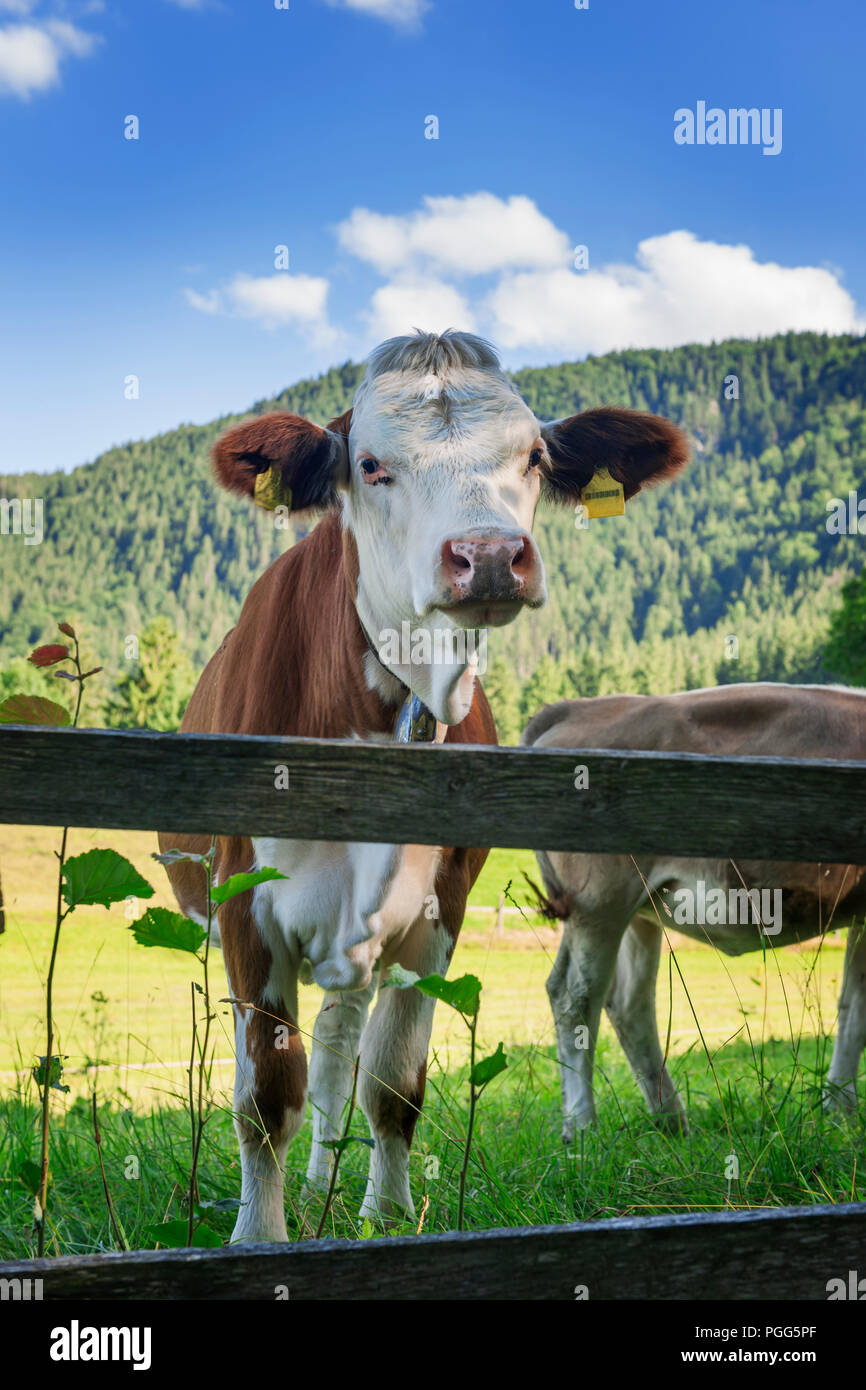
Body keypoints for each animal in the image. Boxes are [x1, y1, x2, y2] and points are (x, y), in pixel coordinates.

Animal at [159, 330, 688, 1241]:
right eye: (370, 464)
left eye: (534, 457)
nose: (490, 556)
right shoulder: (244, 901)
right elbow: (264, 1093)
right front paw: (259, 1236)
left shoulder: (439, 910)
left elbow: (392, 1082)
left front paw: (387, 1216)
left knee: (339, 1051)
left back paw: (324, 1183)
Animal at [522, 682, 866, 1141]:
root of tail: (578, 707)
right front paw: (844, 1114)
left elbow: (852, 1007)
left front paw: (840, 1111)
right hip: (599, 903)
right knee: (574, 997)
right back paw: (581, 1124)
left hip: (634, 911)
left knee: (628, 1001)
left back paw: (671, 1119)